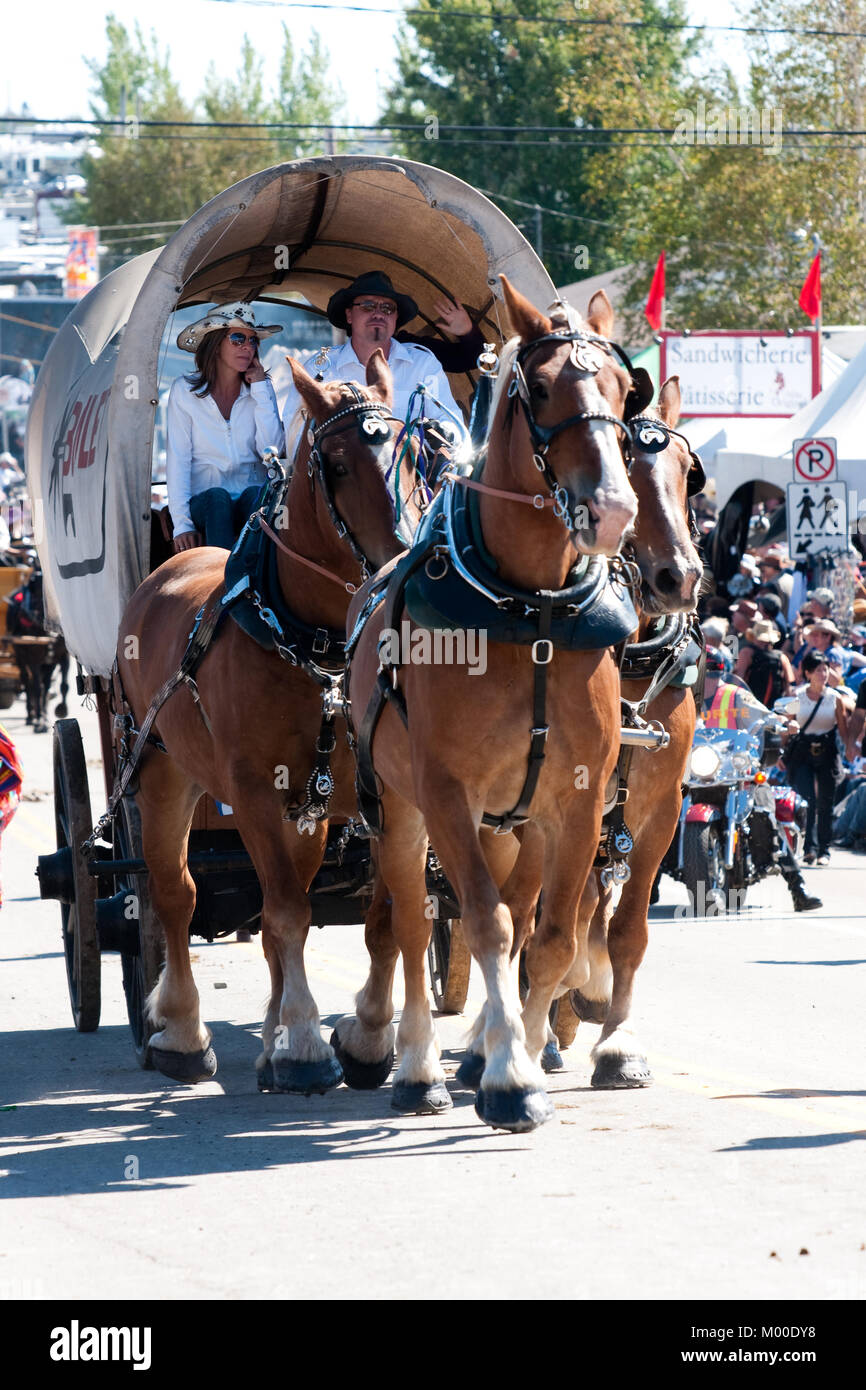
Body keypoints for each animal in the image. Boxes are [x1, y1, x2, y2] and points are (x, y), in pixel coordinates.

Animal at [116, 353, 422, 1089]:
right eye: (337, 463)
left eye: (413, 452)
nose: (402, 560)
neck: (317, 642)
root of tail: (170, 565)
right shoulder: (252, 790)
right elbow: (284, 911)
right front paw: (306, 1043)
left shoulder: (371, 792)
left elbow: (377, 915)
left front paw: (363, 1038)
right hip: (163, 771)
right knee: (175, 893)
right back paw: (182, 1032)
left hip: (307, 808)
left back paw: (268, 1032)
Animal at [337, 276, 644, 1134]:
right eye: (538, 389)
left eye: (625, 389)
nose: (612, 509)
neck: (529, 611)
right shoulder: (443, 791)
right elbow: (480, 922)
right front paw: (509, 1079)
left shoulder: (575, 803)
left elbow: (551, 940)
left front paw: (520, 1055)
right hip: (402, 808)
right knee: (410, 927)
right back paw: (413, 1066)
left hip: (518, 823)